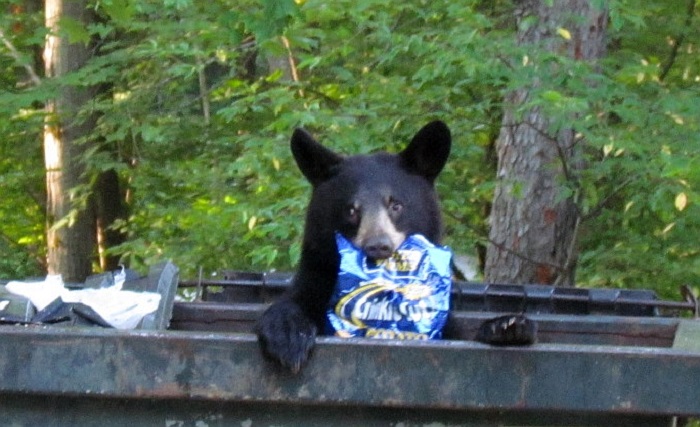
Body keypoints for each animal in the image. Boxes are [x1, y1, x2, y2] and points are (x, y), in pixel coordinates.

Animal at [256, 121, 536, 372]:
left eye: (396, 205)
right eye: (351, 210)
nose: (378, 246)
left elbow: (458, 332)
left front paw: (508, 326)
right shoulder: (316, 280)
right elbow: (292, 303)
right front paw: (289, 335)